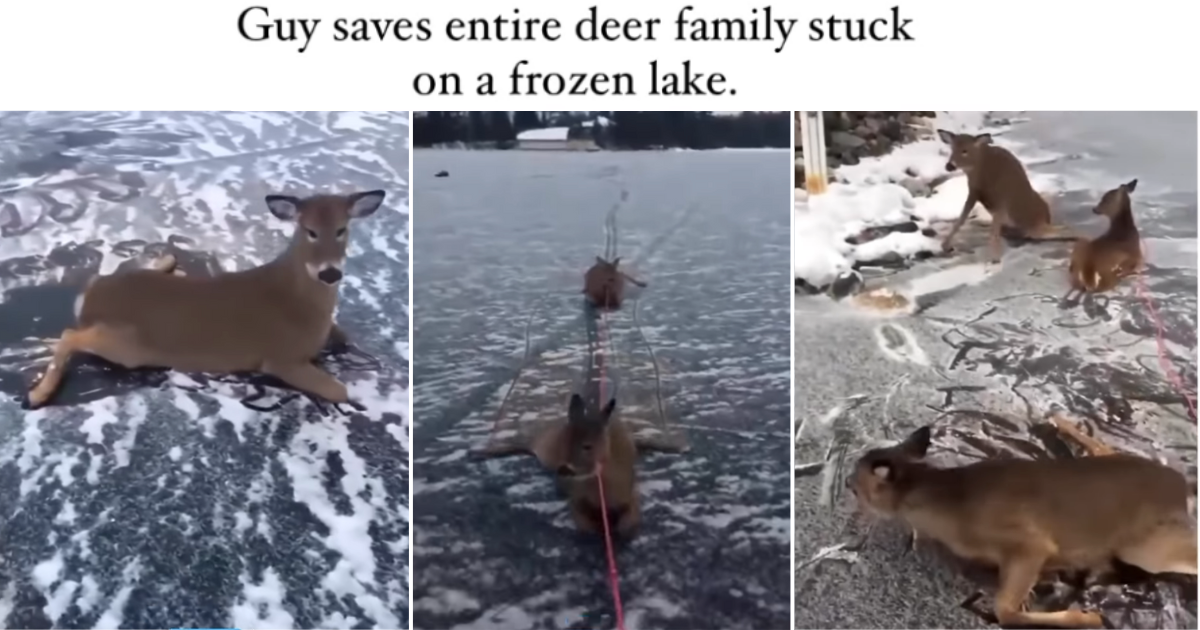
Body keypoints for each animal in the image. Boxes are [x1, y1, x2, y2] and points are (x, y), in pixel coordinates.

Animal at [24, 190, 386, 410]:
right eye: (309, 230)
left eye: (342, 229)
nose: (330, 273)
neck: (302, 304)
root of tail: (88, 300)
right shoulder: (280, 357)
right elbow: (340, 390)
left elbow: (344, 335)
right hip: (127, 346)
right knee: (69, 336)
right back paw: (38, 394)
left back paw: (169, 259)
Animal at [849, 424, 1196, 629]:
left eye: (854, 486)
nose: (847, 488)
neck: (949, 503)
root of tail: (1181, 487)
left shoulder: (1028, 542)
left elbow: (1005, 610)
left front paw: (1087, 618)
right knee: (1108, 449)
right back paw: (1061, 421)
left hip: (1148, 548)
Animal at [938, 130, 1073, 263]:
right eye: (952, 149)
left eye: (965, 150)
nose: (949, 166)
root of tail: (1046, 218)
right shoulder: (975, 191)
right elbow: (962, 218)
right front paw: (945, 246)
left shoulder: (998, 198)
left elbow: (983, 226)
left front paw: (995, 258)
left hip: (1032, 224)